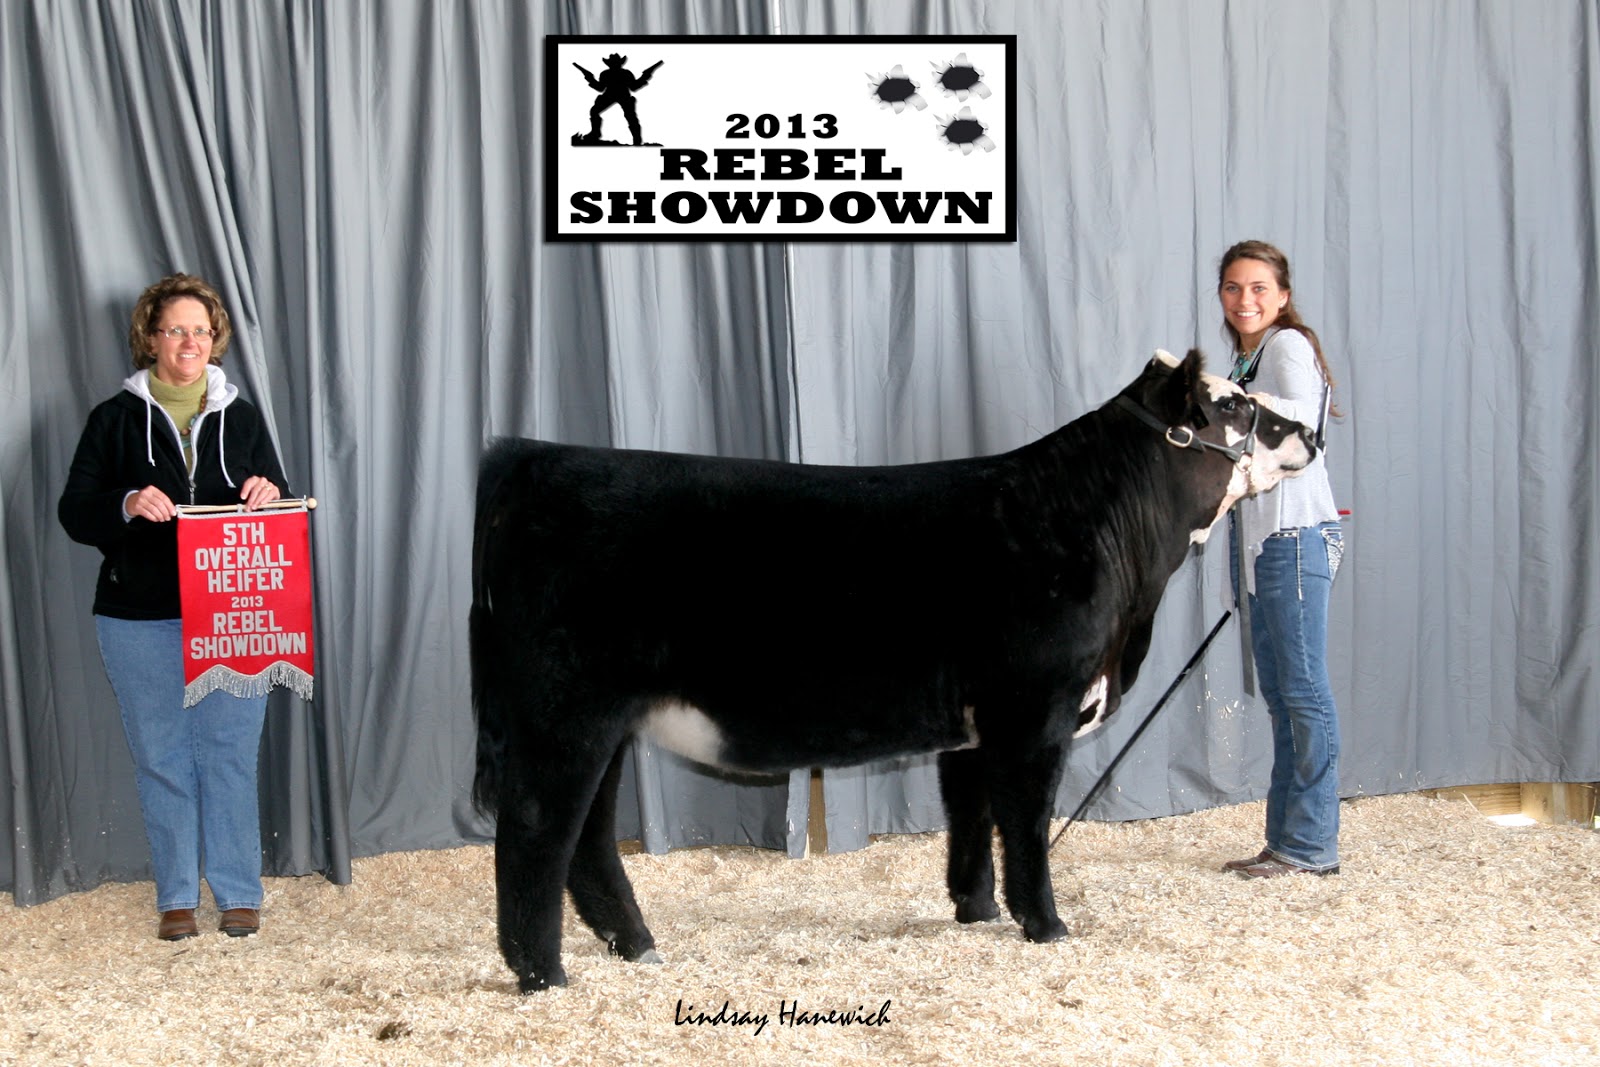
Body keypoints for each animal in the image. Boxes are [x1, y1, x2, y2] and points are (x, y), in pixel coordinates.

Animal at [470, 347, 1315, 992]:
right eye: (1235, 405)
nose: (1310, 428)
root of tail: (530, 456)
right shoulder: (1033, 712)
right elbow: (1027, 825)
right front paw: (1046, 925)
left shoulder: (976, 725)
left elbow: (972, 817)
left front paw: (975, 911)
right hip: (566, 713)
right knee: (536, 833)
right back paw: (543, 974)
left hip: (604, 723)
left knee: (587, 838)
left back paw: (636, 945)